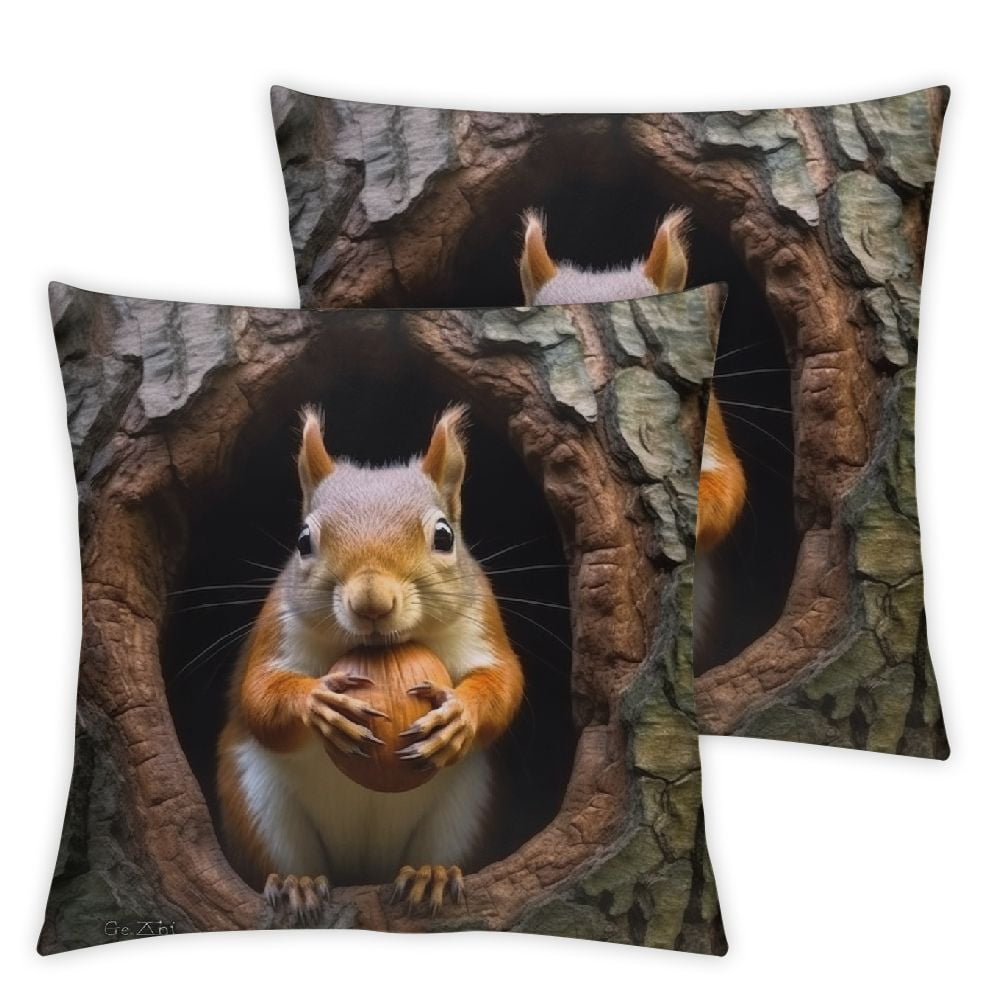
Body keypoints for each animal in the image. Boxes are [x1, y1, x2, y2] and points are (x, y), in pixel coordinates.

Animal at [216, 405, 525, 919]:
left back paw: (429, 876)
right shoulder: (277, 628)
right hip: (257, 802)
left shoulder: (480, 620)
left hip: (465, 810)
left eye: (444, 536)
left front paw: (460, 715)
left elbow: (504, 680)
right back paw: (299, 884)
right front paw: (319, 705)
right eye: (303, 540)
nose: (372, 602)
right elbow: (258, 695)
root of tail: (364, 869)